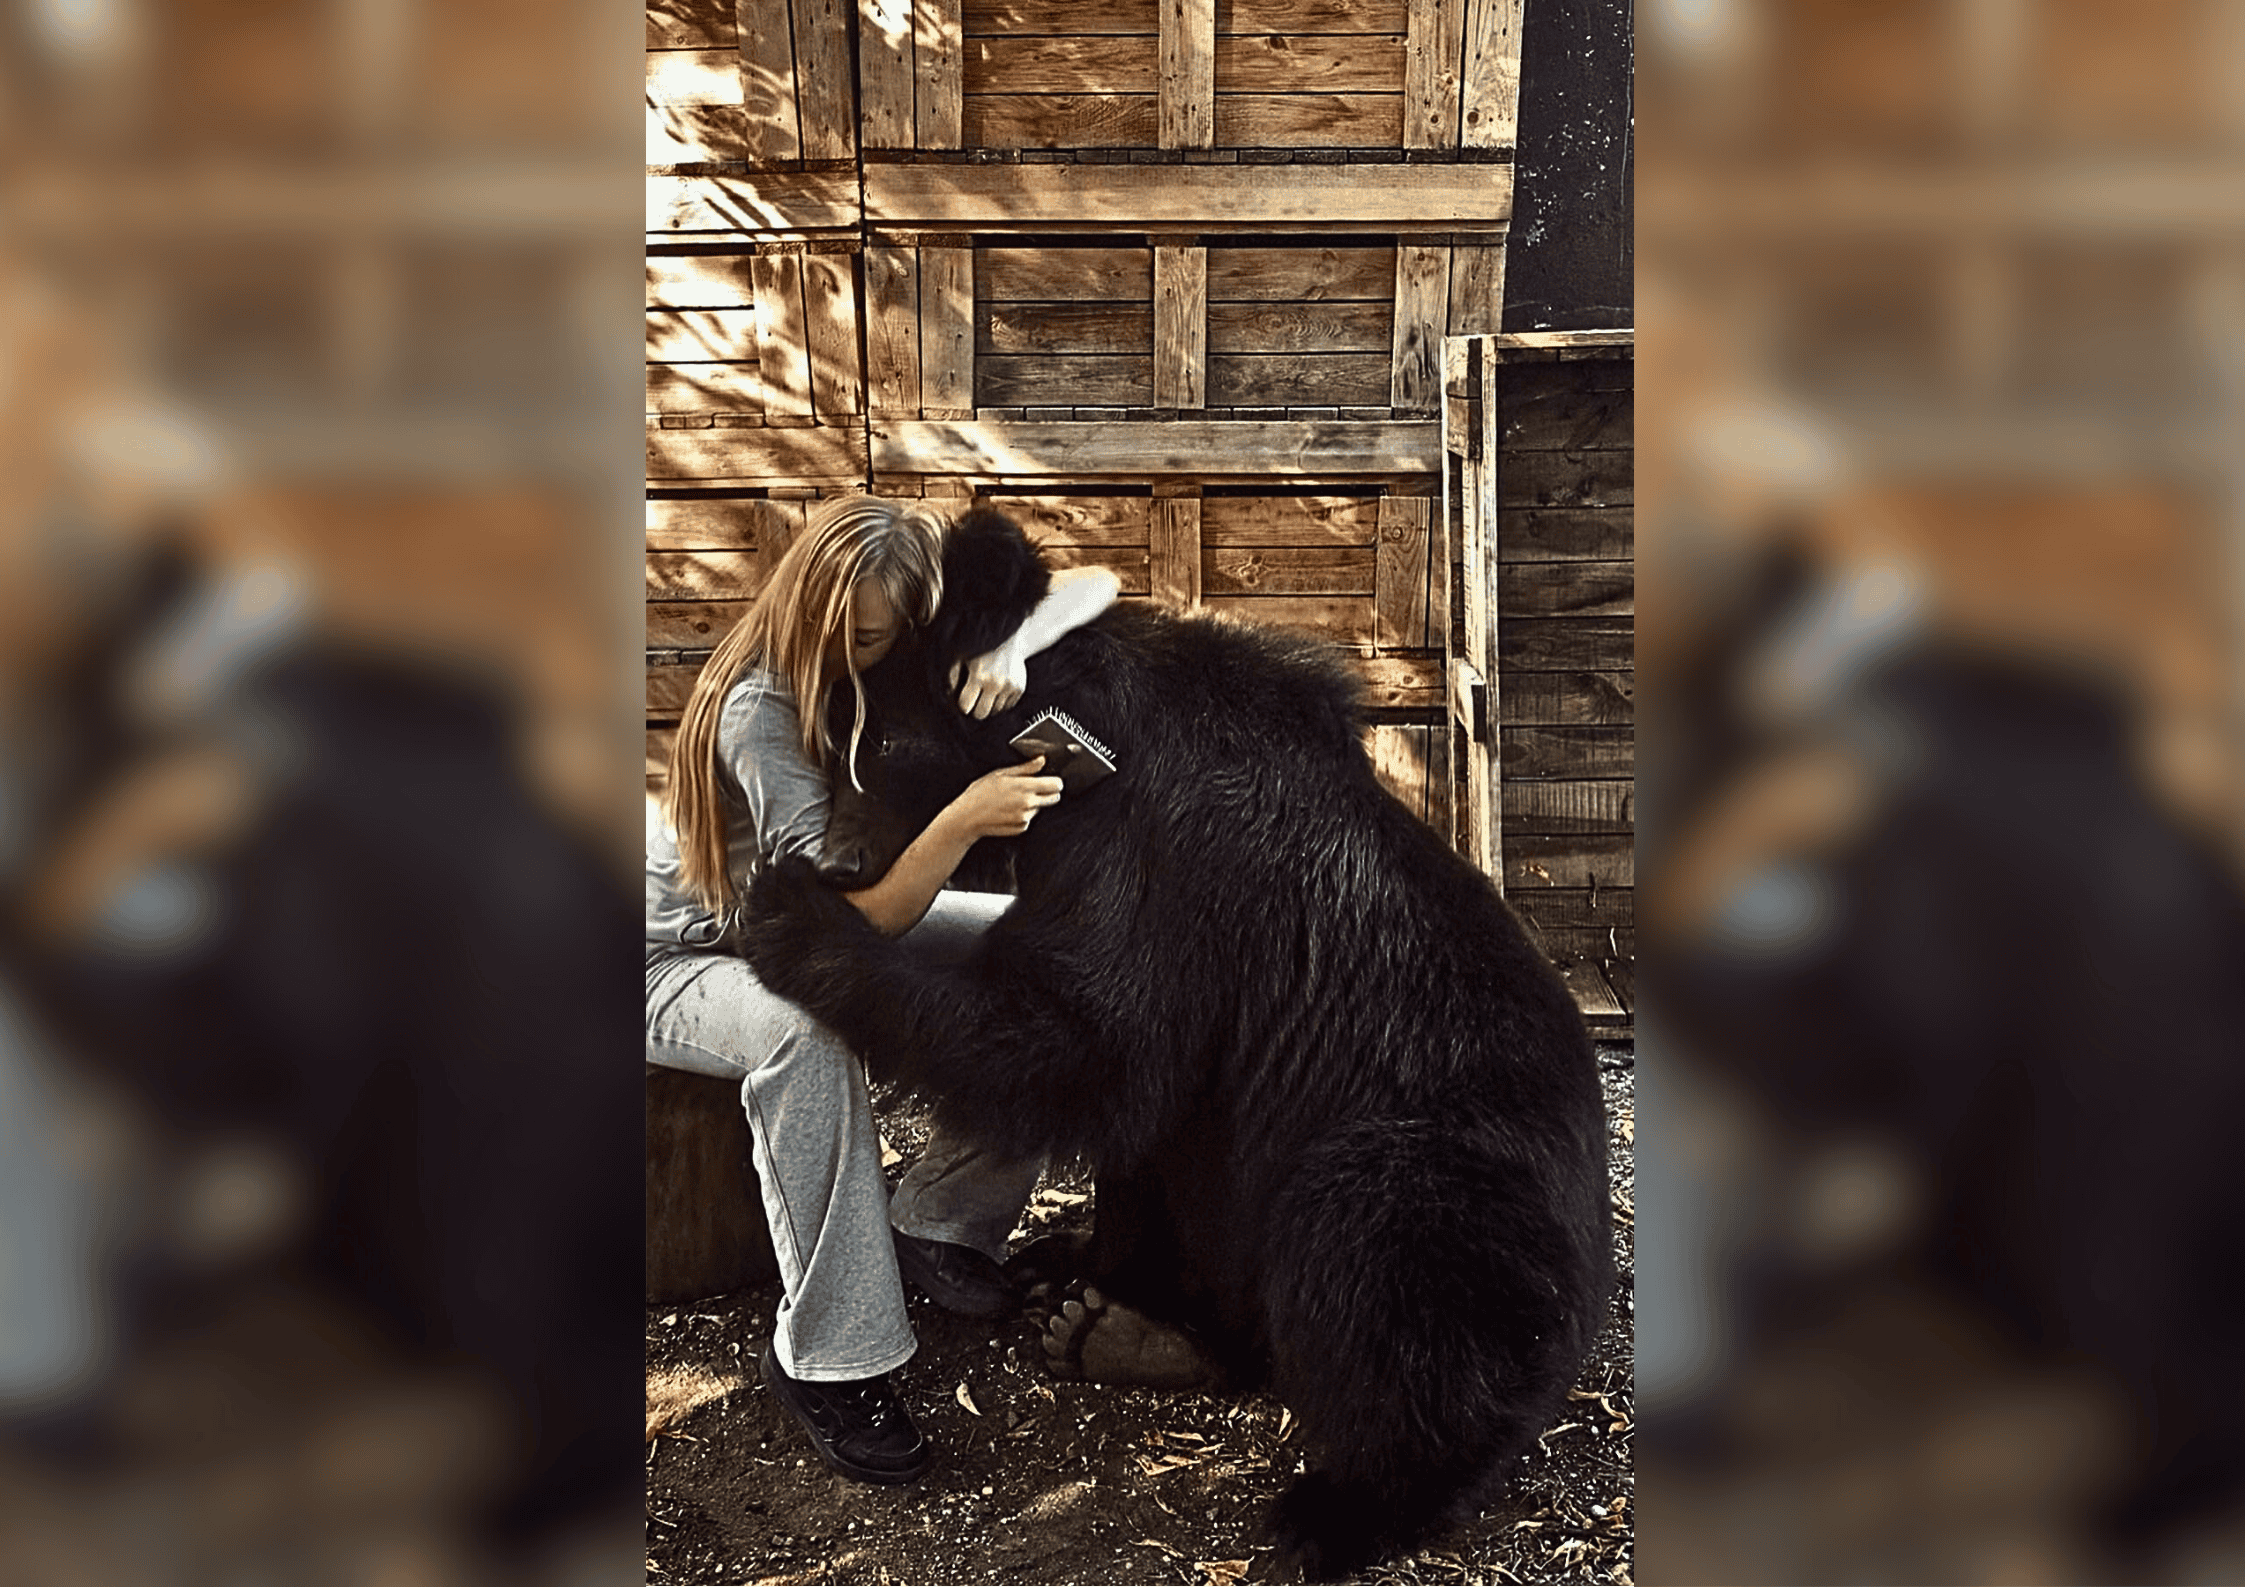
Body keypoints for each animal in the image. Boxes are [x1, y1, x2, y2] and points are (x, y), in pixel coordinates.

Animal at [742, 506, 1615, 1579]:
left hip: (1435, 1181)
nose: (838, 860)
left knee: (1382, 1282)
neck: (1072, 762)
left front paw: (789, 915)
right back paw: (1095, 1309)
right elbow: (1120, 1096)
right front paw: (1072, 1260)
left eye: (893, 740)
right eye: (835, 739)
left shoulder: (1158, 862)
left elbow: (1090, 1036)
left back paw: (1330, 1503)